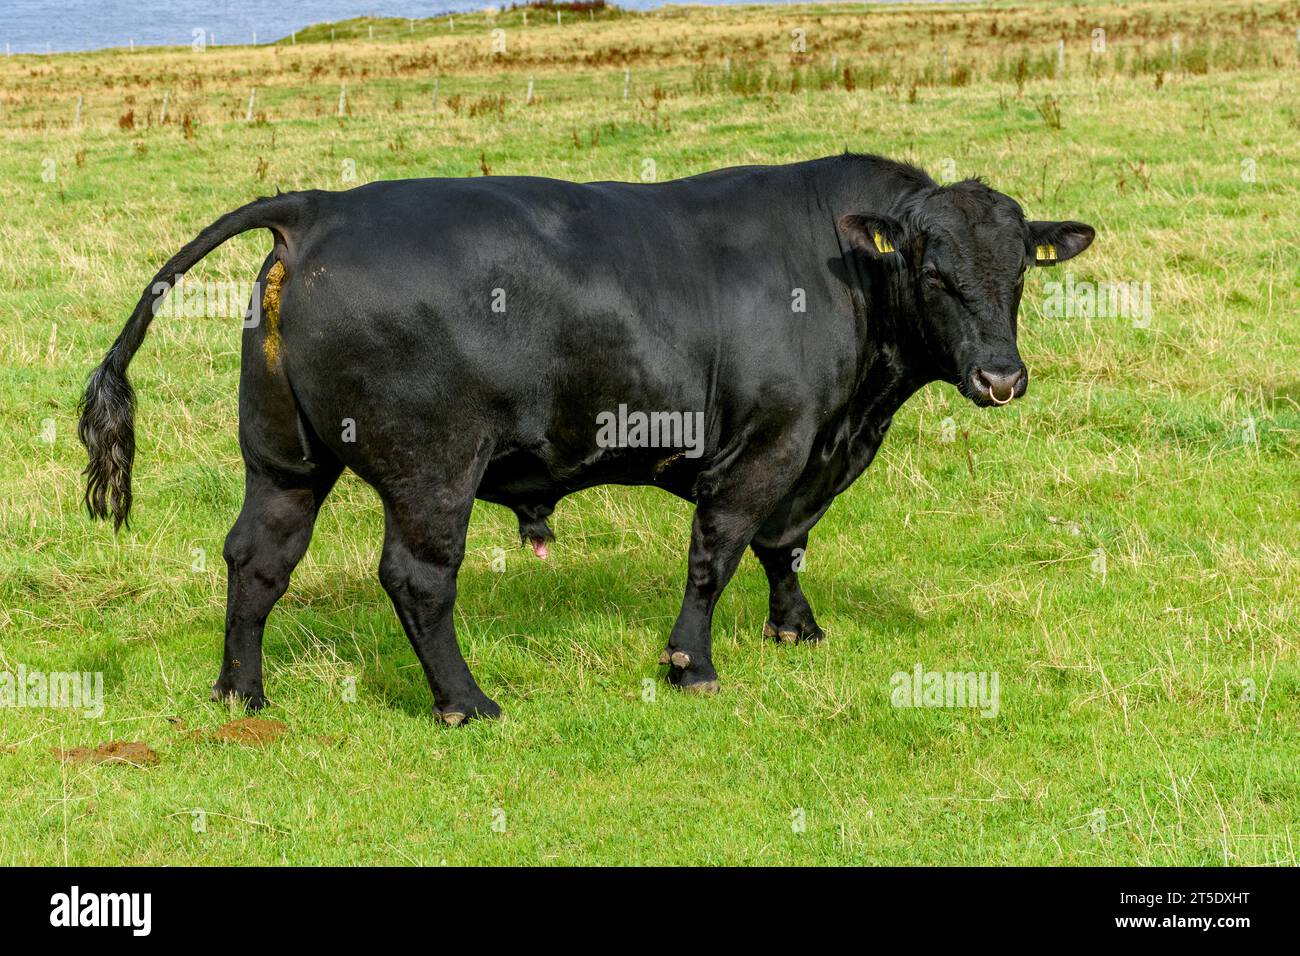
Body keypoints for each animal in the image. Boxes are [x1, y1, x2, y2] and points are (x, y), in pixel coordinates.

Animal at [79, 153, 1094, 724]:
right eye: (932, 269)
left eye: (1018, 272)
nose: (1001, 378)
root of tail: (320, 206)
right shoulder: (768, 445)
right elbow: (719, 552)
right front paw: (692, 666)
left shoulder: (809, 454)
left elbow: (786, 545)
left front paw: (797, 629)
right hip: (432, 469)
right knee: (416, 579)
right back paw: (466, 703)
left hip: (284, 457)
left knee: (258, 559)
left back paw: (241, 693)